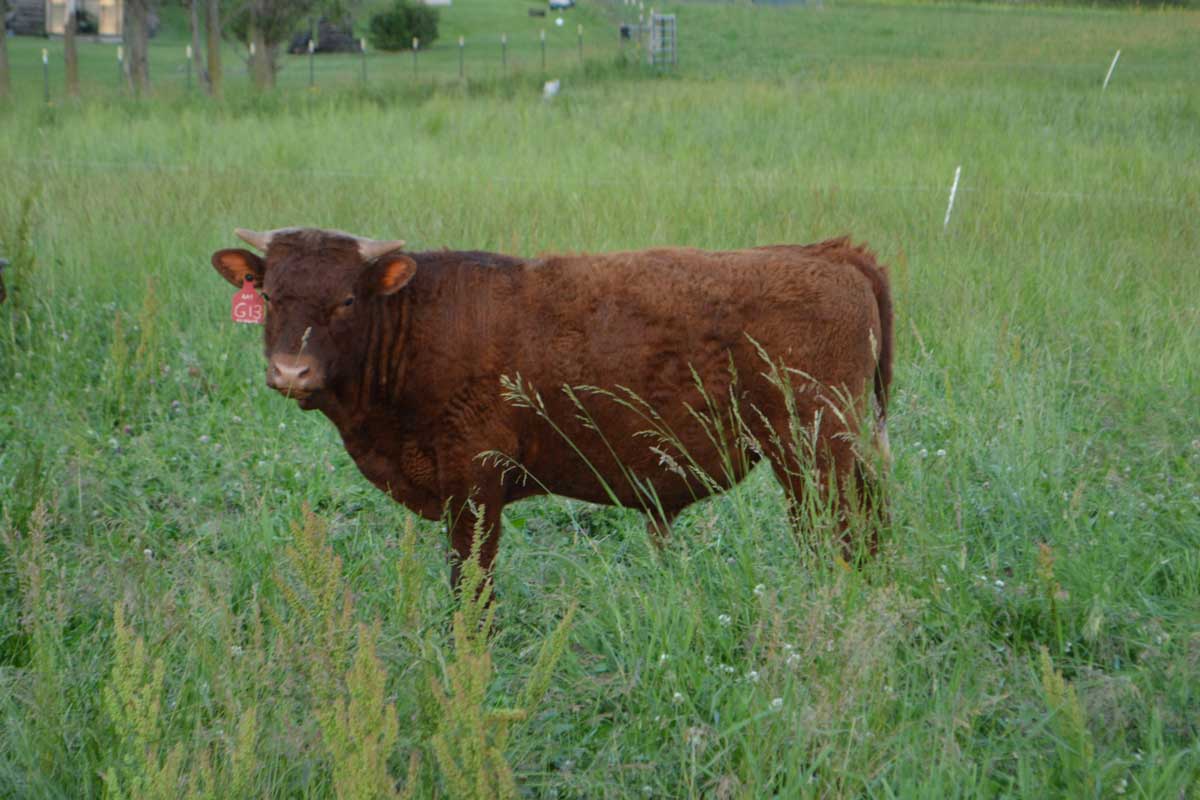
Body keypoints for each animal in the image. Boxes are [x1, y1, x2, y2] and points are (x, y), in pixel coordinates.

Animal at [210, 228, 893, 592]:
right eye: (269, 295)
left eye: (347, 300)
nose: (291, 372)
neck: (417, 319)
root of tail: (828, 253)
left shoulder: (474, 490)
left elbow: (472, 588)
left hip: (815, 456)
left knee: (840, 536)